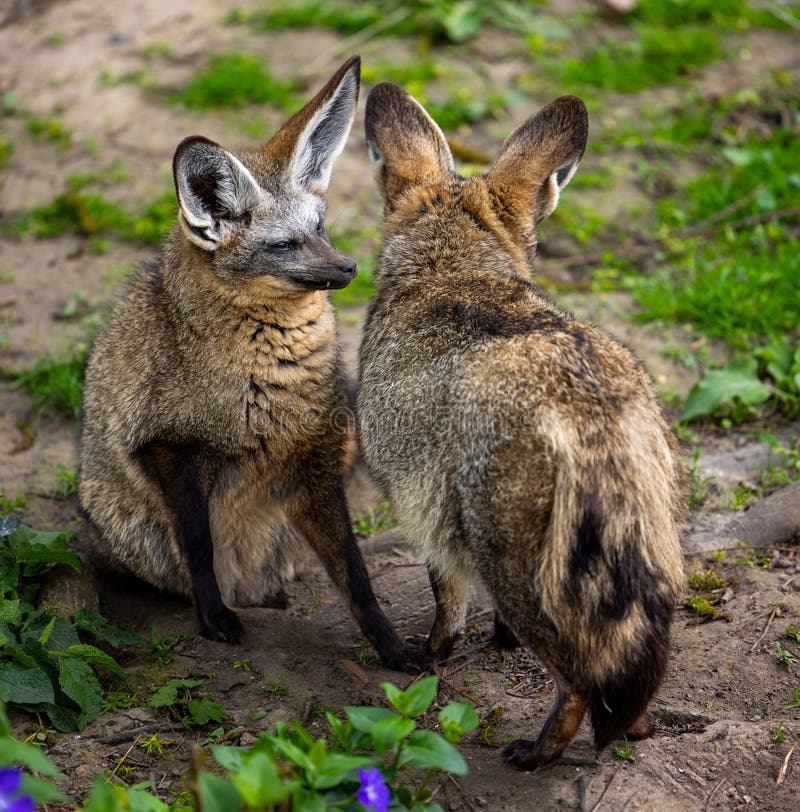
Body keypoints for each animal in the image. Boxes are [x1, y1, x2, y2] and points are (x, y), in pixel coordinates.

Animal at [79, 57, 420, 671]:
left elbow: (355, 575)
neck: (270, 384)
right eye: (283, 245)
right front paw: (214, 618)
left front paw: (392, 646)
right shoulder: (170, 447)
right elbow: (199, 547)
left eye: (320, 228)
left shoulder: (316, 460)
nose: (350, 267)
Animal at [358, 82, 686, 768]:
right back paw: (633, 730)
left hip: (512, 565)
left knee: (578, 681)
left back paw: (538, 753)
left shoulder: (425, 511)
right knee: (635, 682)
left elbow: (446, 606)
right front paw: (496, 643)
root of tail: (588, 409)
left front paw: (432, 655)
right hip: (651, 554)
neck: (450, 263)